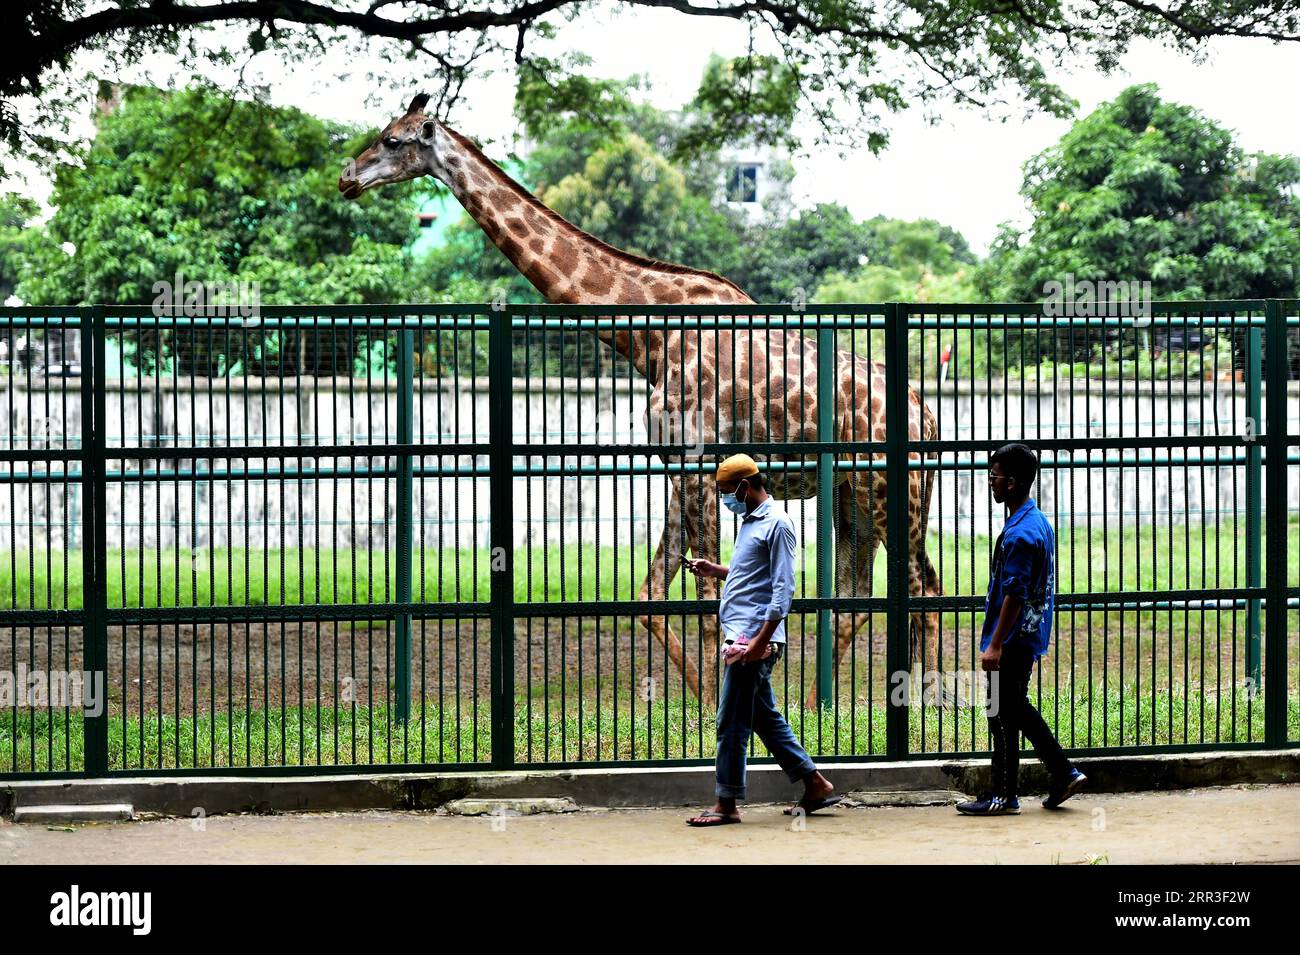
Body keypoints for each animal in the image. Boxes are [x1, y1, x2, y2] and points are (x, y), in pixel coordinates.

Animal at [339, 93, 942, 709]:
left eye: (392, 139)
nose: (347, 177)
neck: (648, 338)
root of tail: (928, 414)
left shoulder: (699, 461)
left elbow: (706, 597)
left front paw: (714, 707)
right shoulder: (678, 466)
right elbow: (654, 593)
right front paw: (703, 701)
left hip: (893, 489)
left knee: (924, 583)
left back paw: (927, 704)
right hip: (853, 493)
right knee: (859, 594)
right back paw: (826, 706)